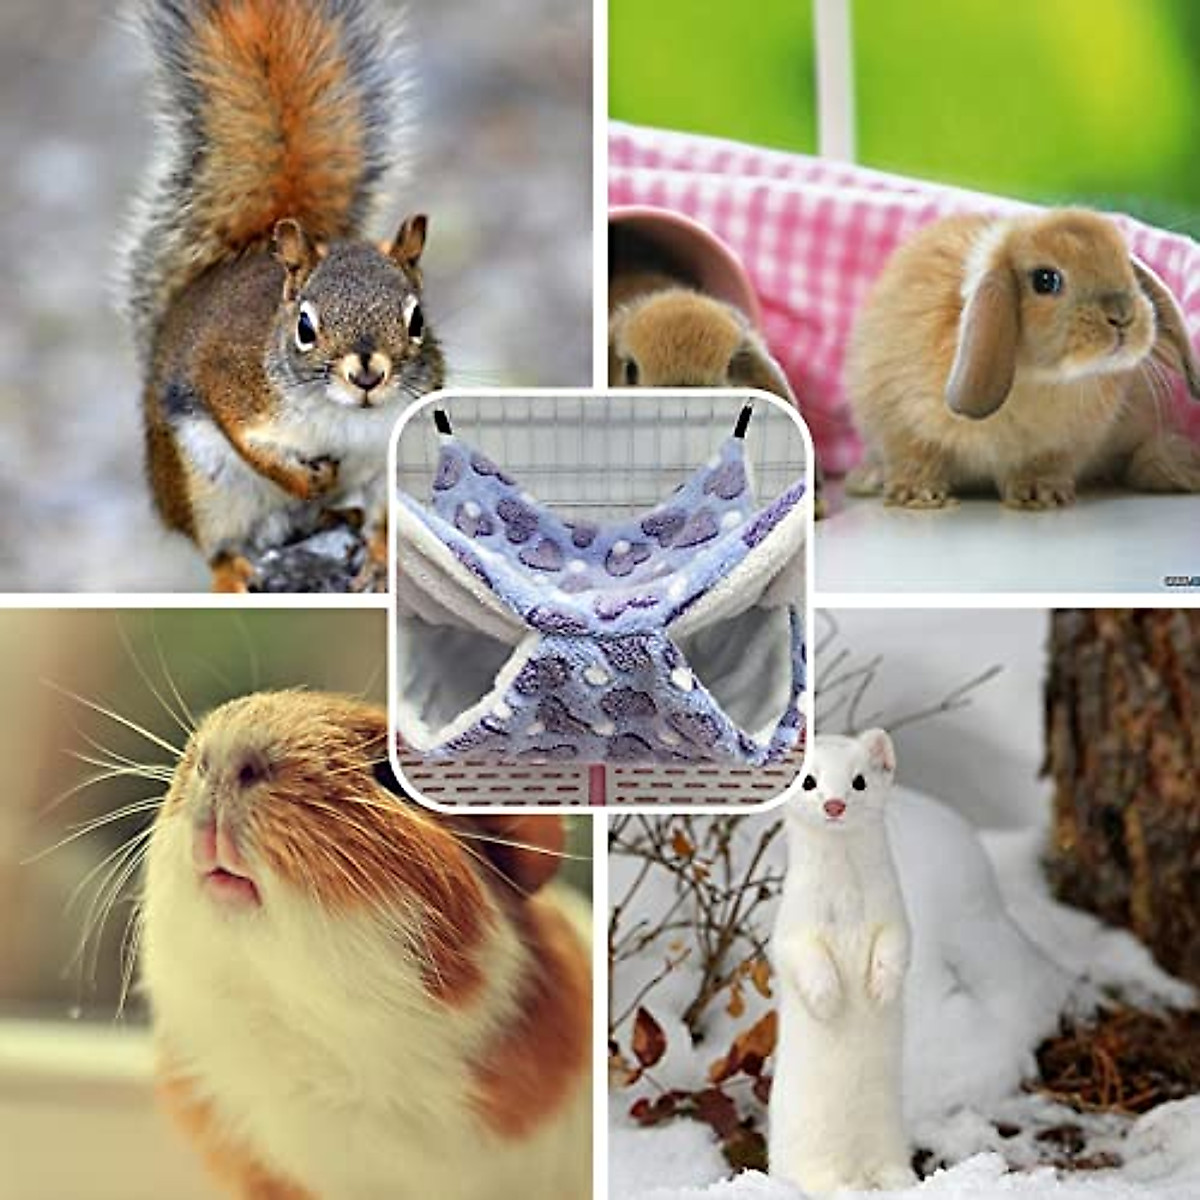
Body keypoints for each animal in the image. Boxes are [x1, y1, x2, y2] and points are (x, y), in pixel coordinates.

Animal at [120, 0, 446, 592]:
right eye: (305, 327)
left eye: (417, 320)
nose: (368, 374)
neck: (346, 415)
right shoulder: (228, 379)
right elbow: (245, 438)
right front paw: (299, 479)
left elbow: (393, 515)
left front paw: (382, 553)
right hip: (201, 492)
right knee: (220, 547)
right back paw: (238, 568)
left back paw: (340, 517)